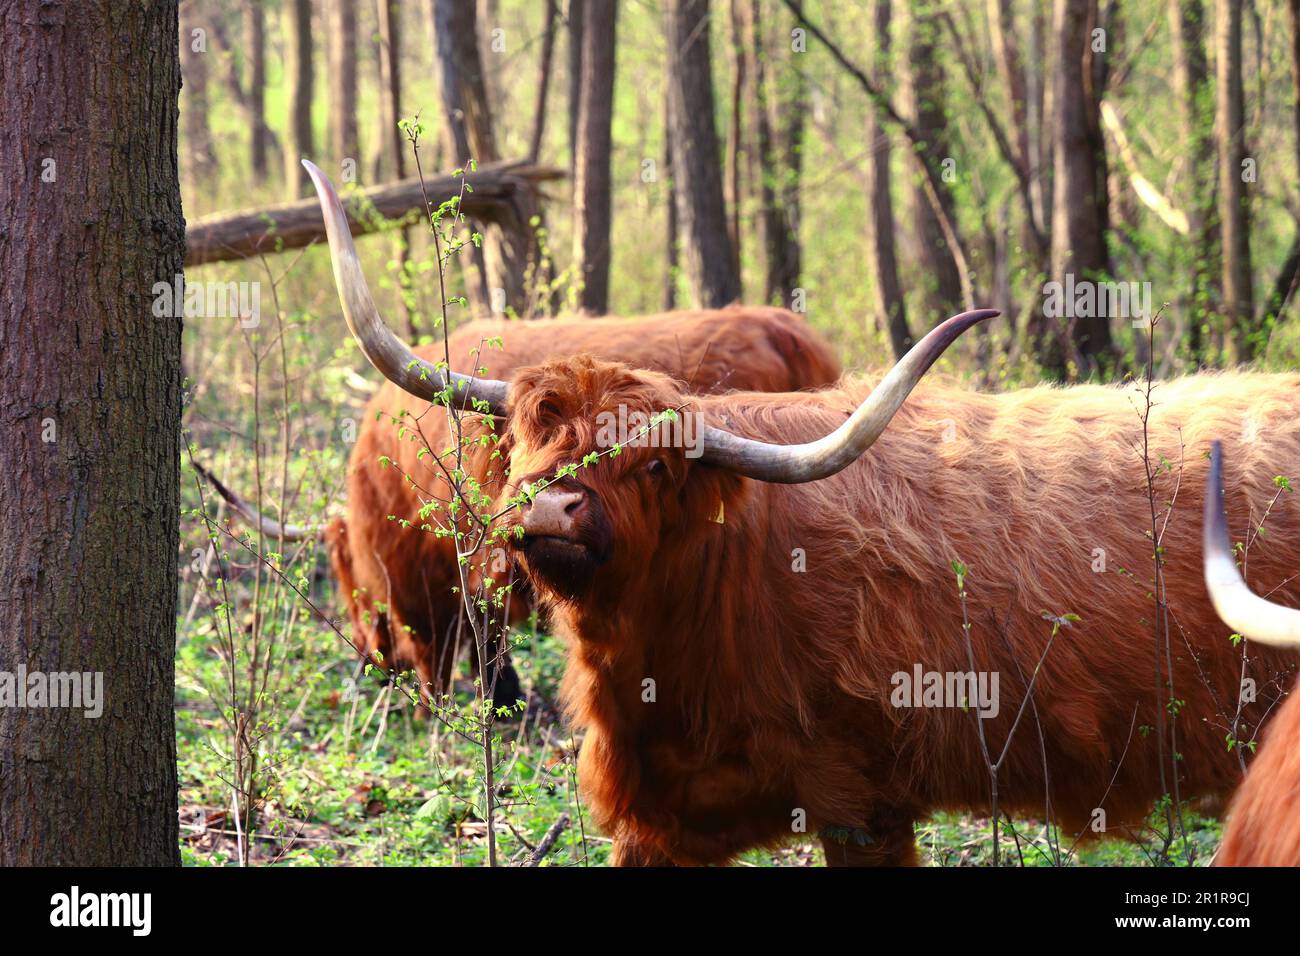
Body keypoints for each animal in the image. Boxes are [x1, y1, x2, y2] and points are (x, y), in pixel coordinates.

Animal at [206, 161, 841, 708]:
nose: (370, 663)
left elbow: (483, 628)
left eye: (342, 568)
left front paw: (493, 702)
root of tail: (783, 327)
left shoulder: (479, 554)